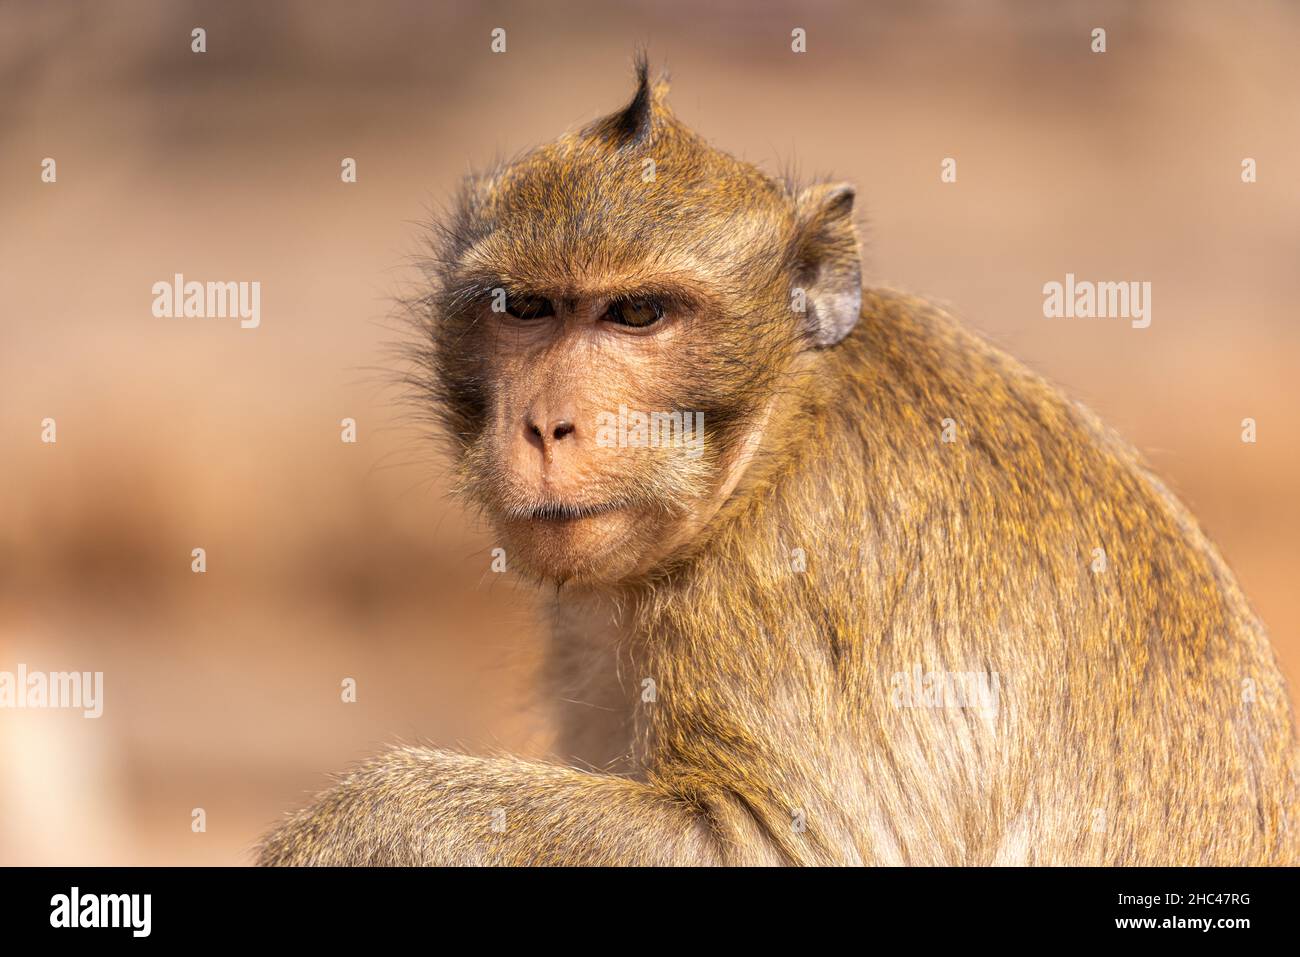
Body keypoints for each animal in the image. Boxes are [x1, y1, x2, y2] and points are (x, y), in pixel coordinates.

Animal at [257, 57, 1299, 866]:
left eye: (637, 313)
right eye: (526, 308)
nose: (548, 426)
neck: (772, 439)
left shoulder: (789, 577)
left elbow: (779, 843)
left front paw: (356, 823)